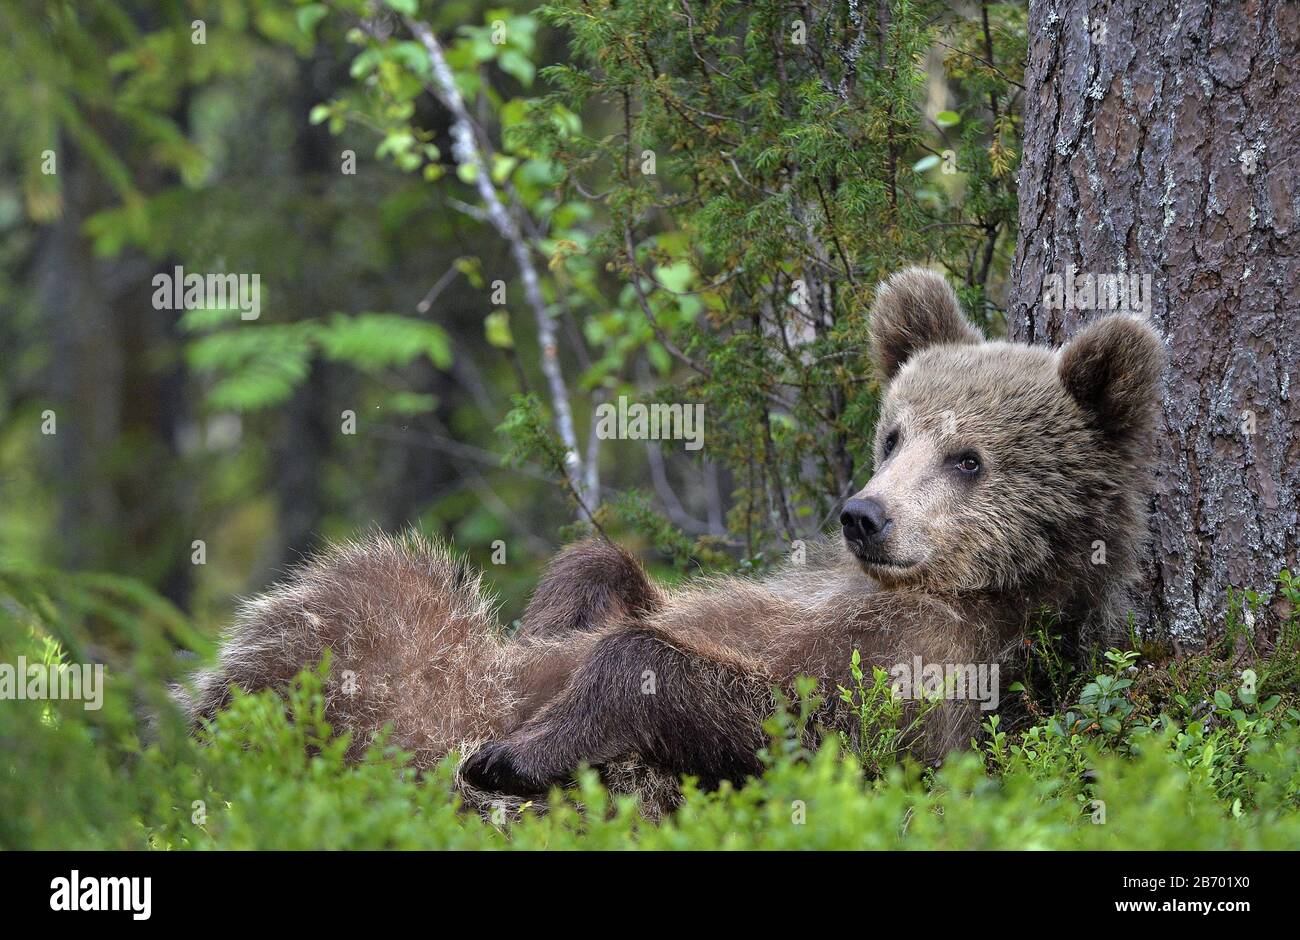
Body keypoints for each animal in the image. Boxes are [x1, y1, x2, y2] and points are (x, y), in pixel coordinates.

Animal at [178, 266, 1166, 805]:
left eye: (967, 459)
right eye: (894, 433)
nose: (864, 515)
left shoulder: (933, 674)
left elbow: (779, 715)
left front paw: (514, 751)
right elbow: (607, 576)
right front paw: (565, 611)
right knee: (360, 588)